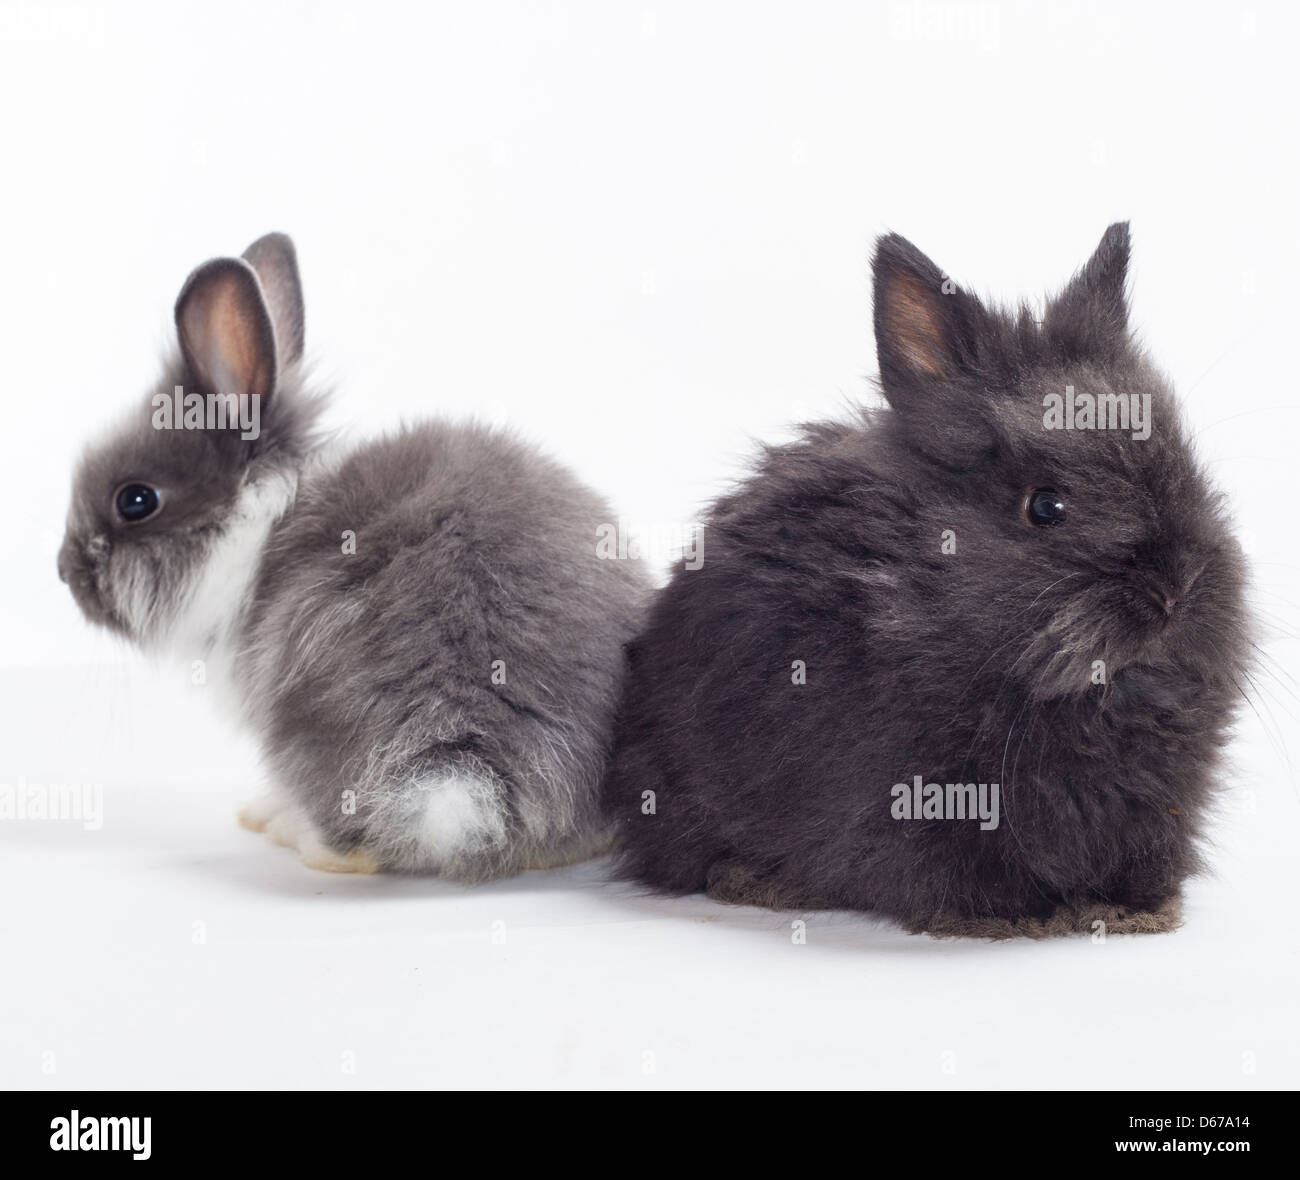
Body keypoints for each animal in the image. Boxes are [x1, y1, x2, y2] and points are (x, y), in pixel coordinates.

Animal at [58, 232, 648, 879]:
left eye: (135, 500)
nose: (63, 572)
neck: (265, 517)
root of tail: (465, 756)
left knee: (354, 850)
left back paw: (284, 827)